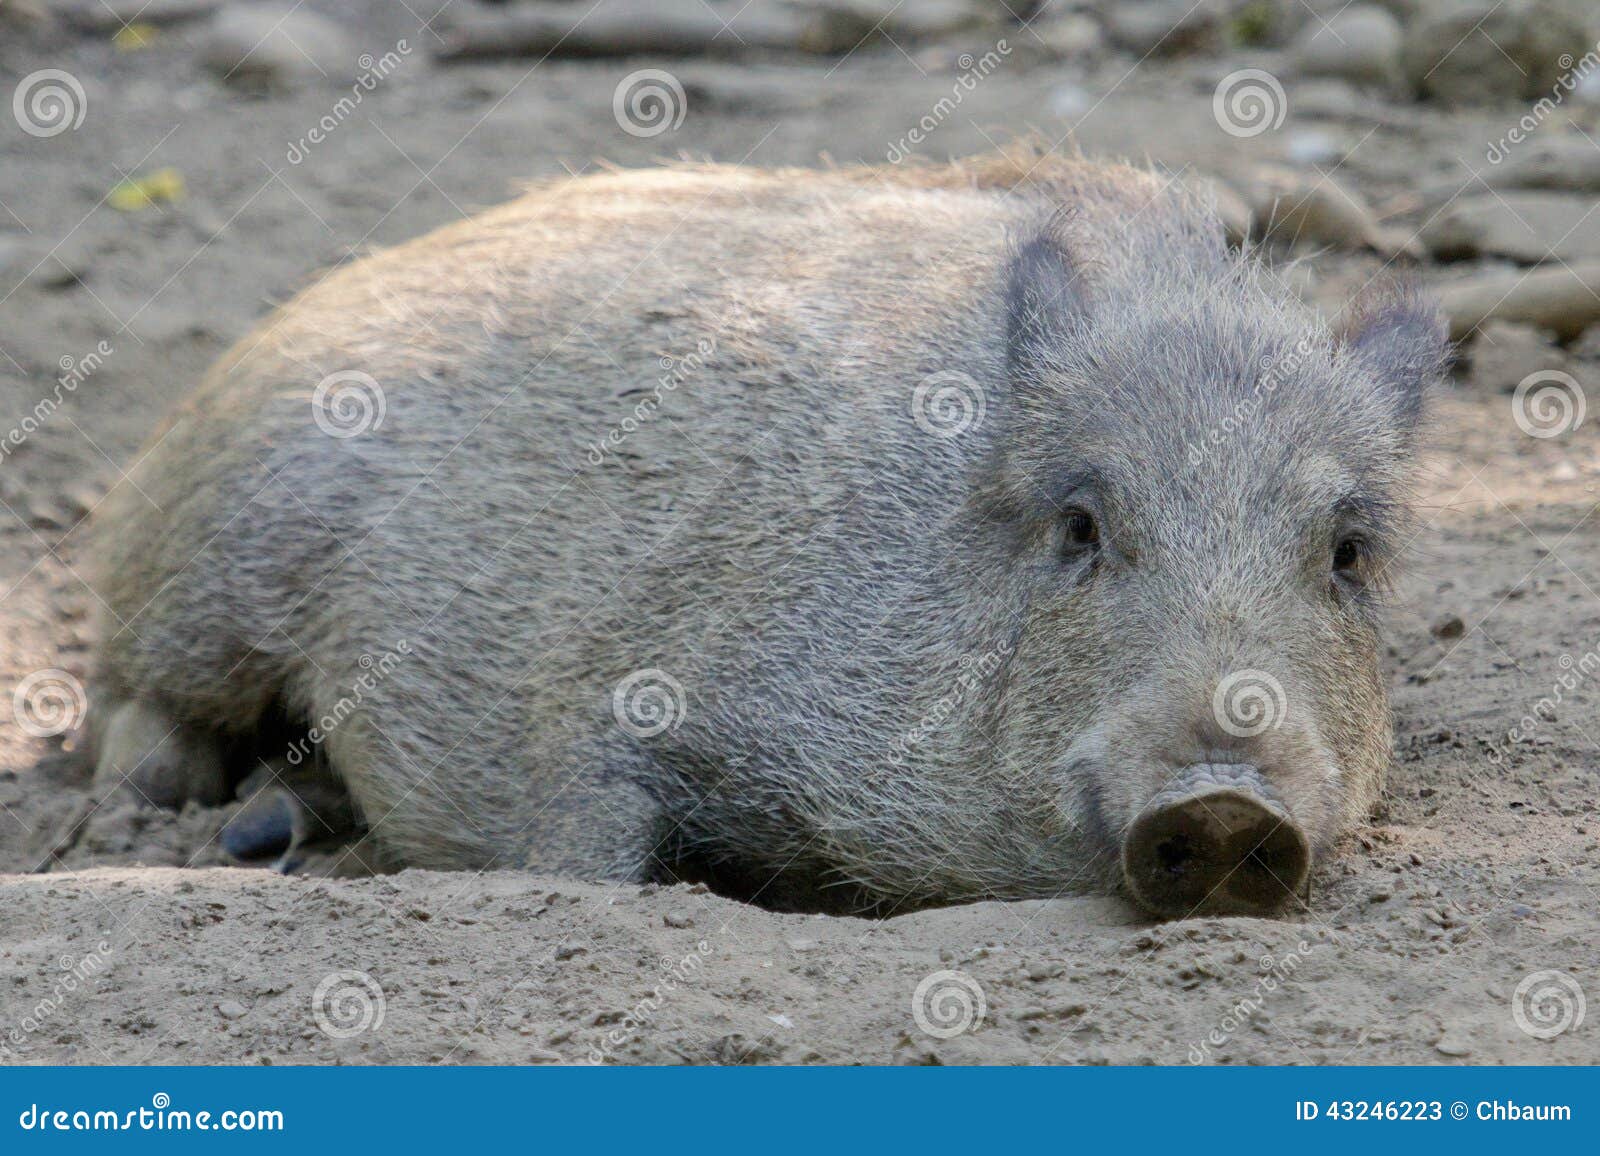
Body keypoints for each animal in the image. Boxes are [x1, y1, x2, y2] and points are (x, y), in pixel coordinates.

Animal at [85, 150, 1447, 918]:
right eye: (1079, 525)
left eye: (1345, 552)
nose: (1221, 803)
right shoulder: (619, 683)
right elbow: (585, 846)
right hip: (217, 554)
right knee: (140, 697)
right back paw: (177, 814)